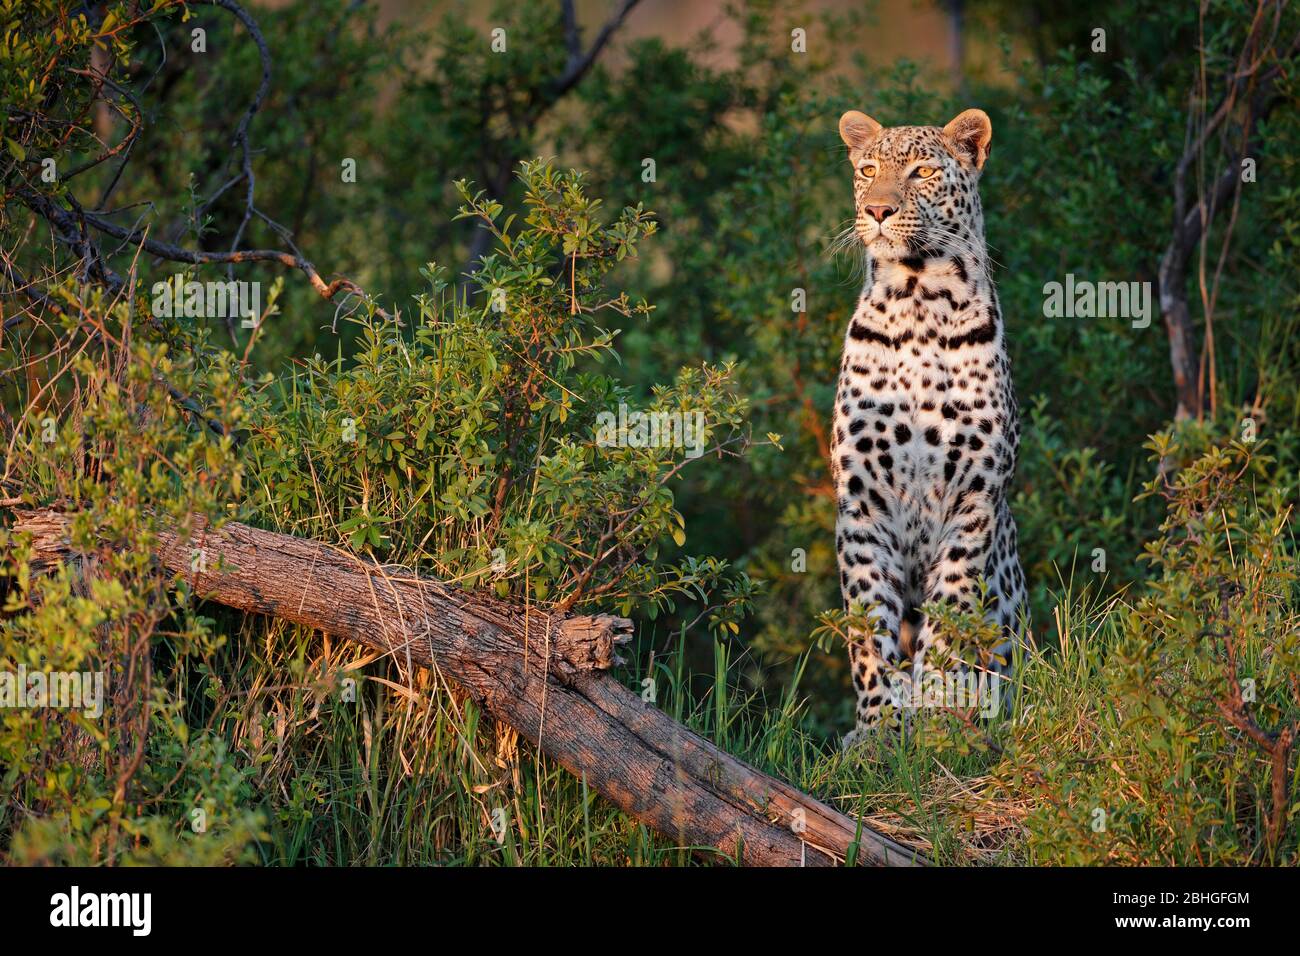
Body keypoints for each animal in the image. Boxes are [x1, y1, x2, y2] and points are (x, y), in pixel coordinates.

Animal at [831, 108, 1028, 749]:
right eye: (869, 170)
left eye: (921, 172)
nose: (878, 210)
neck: (918, 301)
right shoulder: (863, 500)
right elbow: (868, 621)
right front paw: (875, 729)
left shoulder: (974, 495)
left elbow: (951, 607)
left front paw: (937, 718)